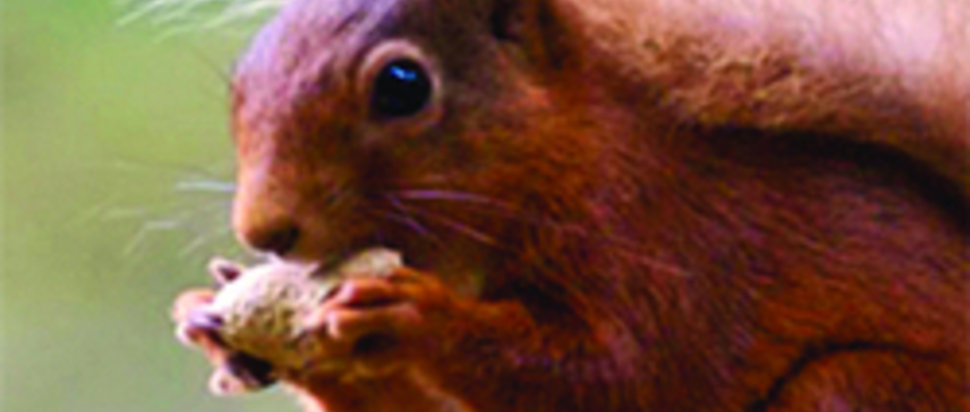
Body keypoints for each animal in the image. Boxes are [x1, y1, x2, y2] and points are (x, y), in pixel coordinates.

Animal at [172, 0, 970, 411]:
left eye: (402, 85)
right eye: (242, 83)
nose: (266, 230)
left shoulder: (667, 242)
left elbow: (628, 376)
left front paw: (413, 317)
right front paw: (213, 316)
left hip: (857, 392)